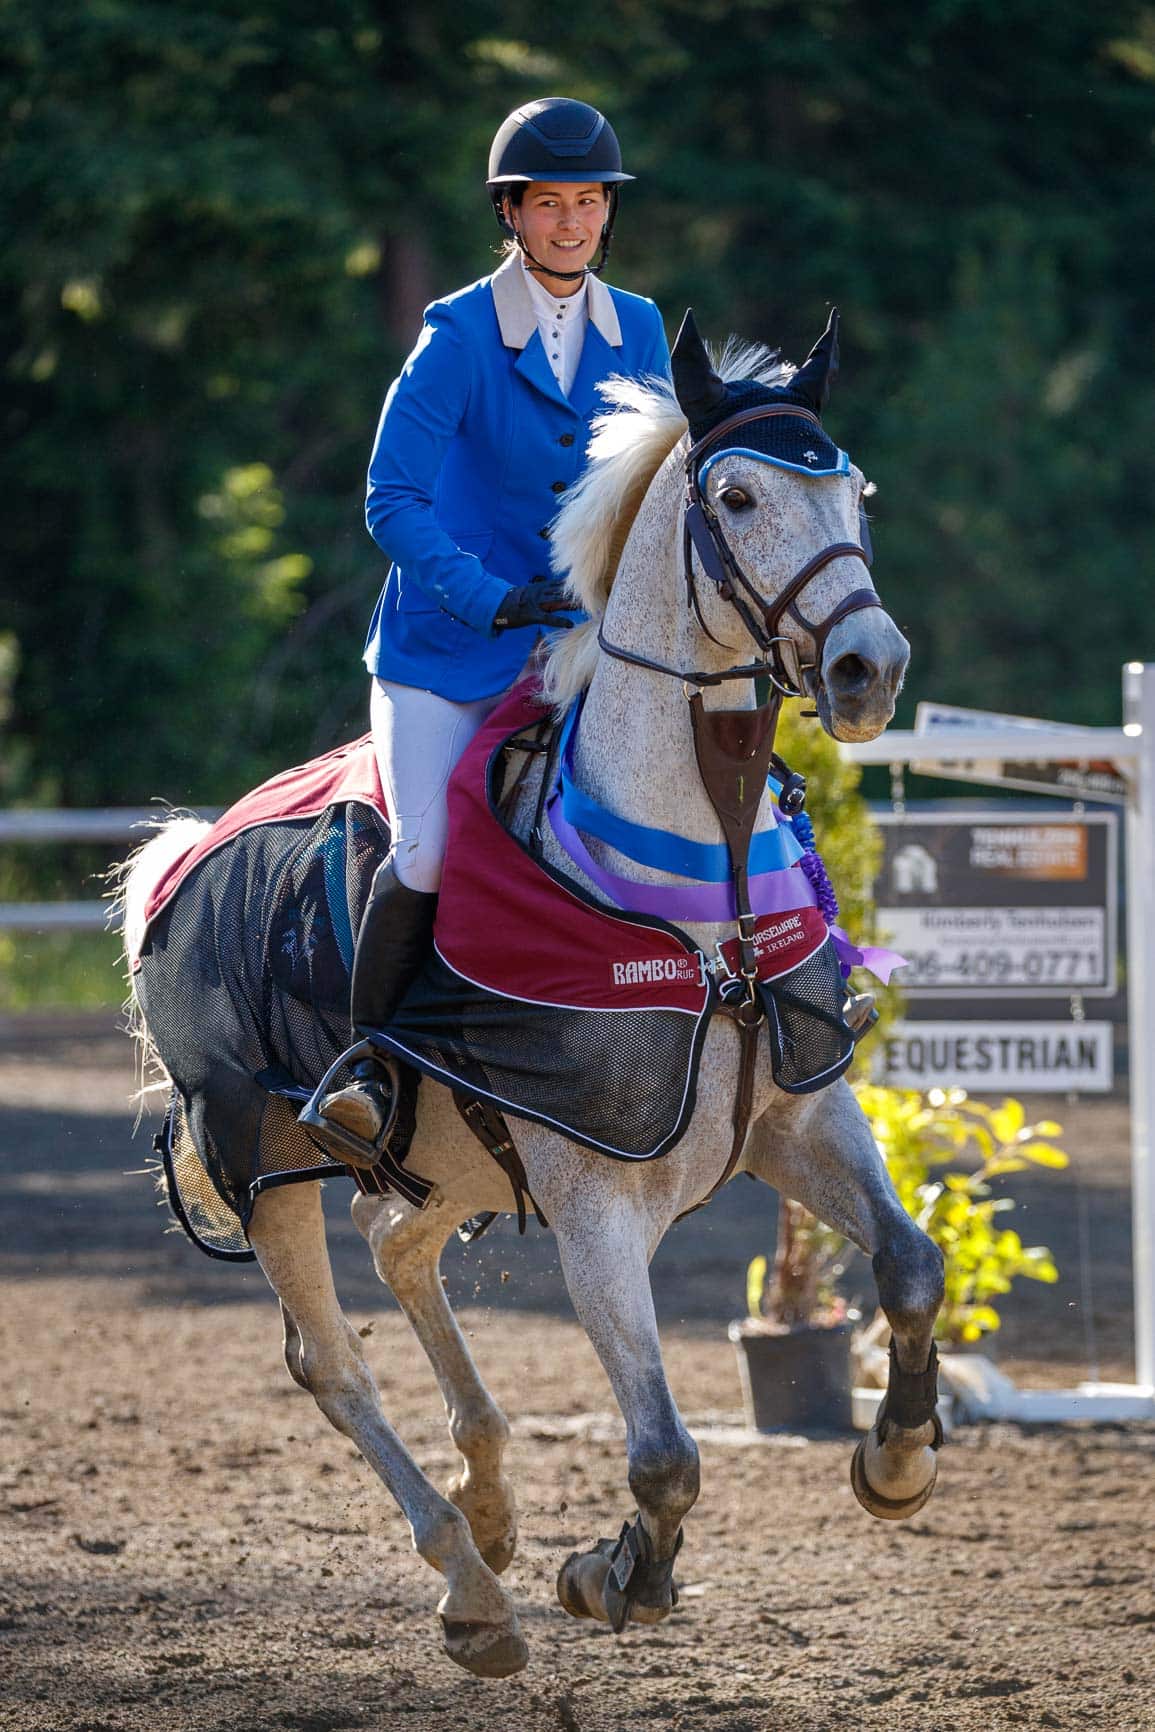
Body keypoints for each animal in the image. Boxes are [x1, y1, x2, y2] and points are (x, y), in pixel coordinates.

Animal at [118, 310, 944, 1680]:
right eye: (736, 495)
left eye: (857, 493)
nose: (868, 667)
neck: (695, 886)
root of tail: (187, 855)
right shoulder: (594, 1198)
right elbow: (664, 1453)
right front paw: (612, 1574)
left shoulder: (798, 1115)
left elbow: (914, 1266)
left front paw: (897, 1458)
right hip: (267, 1152)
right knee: (330, 1361)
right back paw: (471, 1587)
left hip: (443, 1156)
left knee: (396, 1245)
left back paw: (493, 1507)